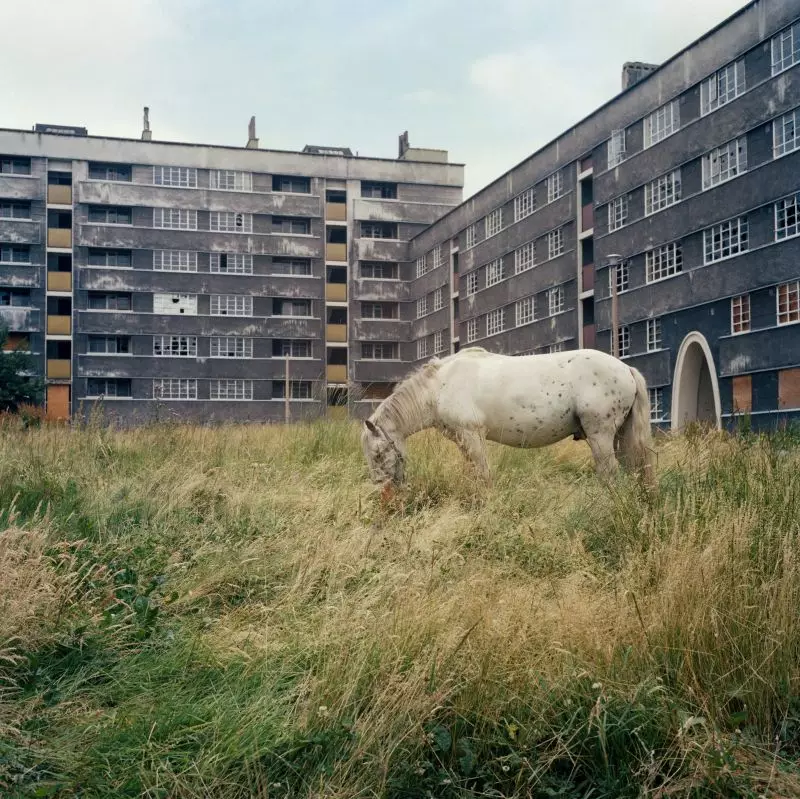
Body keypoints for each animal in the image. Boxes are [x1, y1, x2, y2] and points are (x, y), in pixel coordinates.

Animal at [362, 346, 656, 490]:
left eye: (378, 454)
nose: (383, 491)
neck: (438, 387)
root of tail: (625, 369)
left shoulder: (472, 435)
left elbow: (483, 475)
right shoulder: (464, 441)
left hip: (600, 435)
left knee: (609, 474)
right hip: (618, 436)